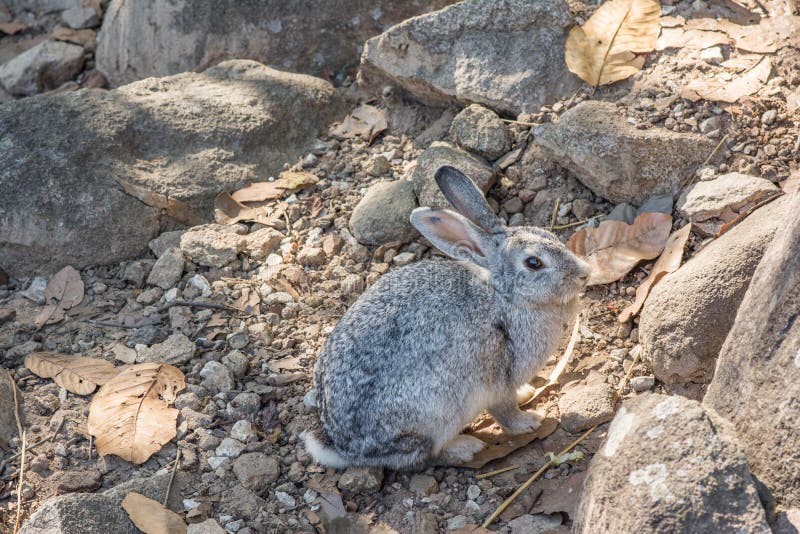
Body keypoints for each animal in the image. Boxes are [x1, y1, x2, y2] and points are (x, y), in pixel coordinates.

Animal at [304, 165, 590, 470]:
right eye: (533, 263)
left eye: (549, 235)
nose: (584, 272)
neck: (505, 295)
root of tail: (345, 448)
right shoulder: (497, 380)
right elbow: (505, 412)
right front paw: (530, 422)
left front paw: (526, 393)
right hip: (434, 416)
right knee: (425, 455)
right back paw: (466, 447)